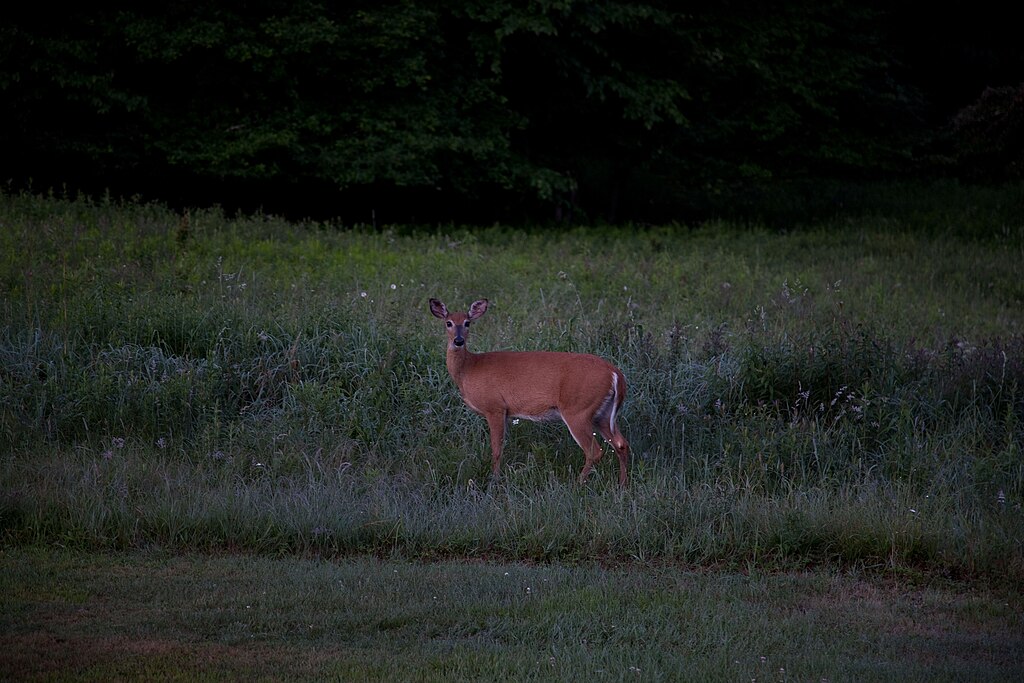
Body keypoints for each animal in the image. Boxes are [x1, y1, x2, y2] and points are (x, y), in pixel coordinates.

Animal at [429, 298, 630, 486]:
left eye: (467, 322)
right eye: (448, 323)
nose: (458, 340)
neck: (469, 369)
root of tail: (616, 374)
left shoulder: (494, 407)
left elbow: (496, 449)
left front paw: (495, 480)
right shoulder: (506, 413)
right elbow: (502, 446)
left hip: (578, 409)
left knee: (595, 451)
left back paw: (578, 483)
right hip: (602, 414)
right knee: (621, 444)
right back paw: (622, 484)